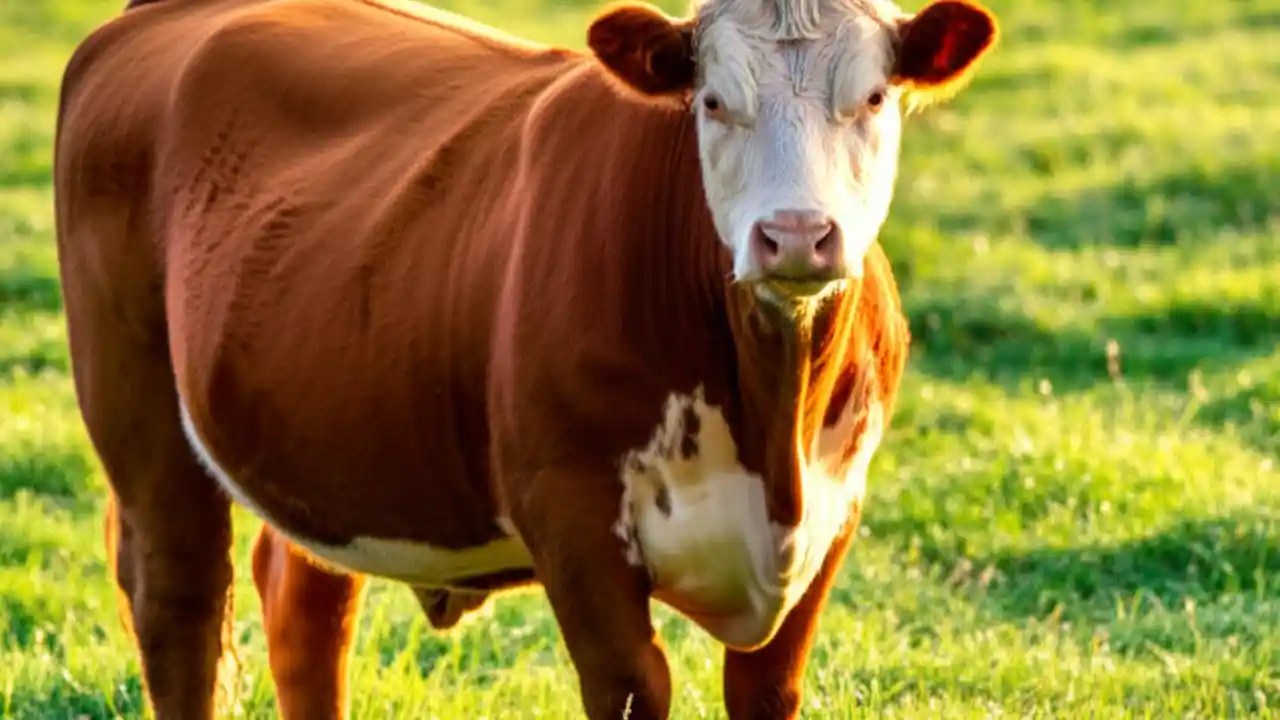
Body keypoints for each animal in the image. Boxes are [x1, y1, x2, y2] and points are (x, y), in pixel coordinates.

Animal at [52, 0, 996, 717]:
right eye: (713, 101)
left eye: (871, 98)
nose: (795, 234)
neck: (772, 421)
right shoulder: (572, 518)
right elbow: (633, 685)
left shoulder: (833, 513)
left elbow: (766, 688)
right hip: (136, 408)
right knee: (180, 603)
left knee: (304, 604)